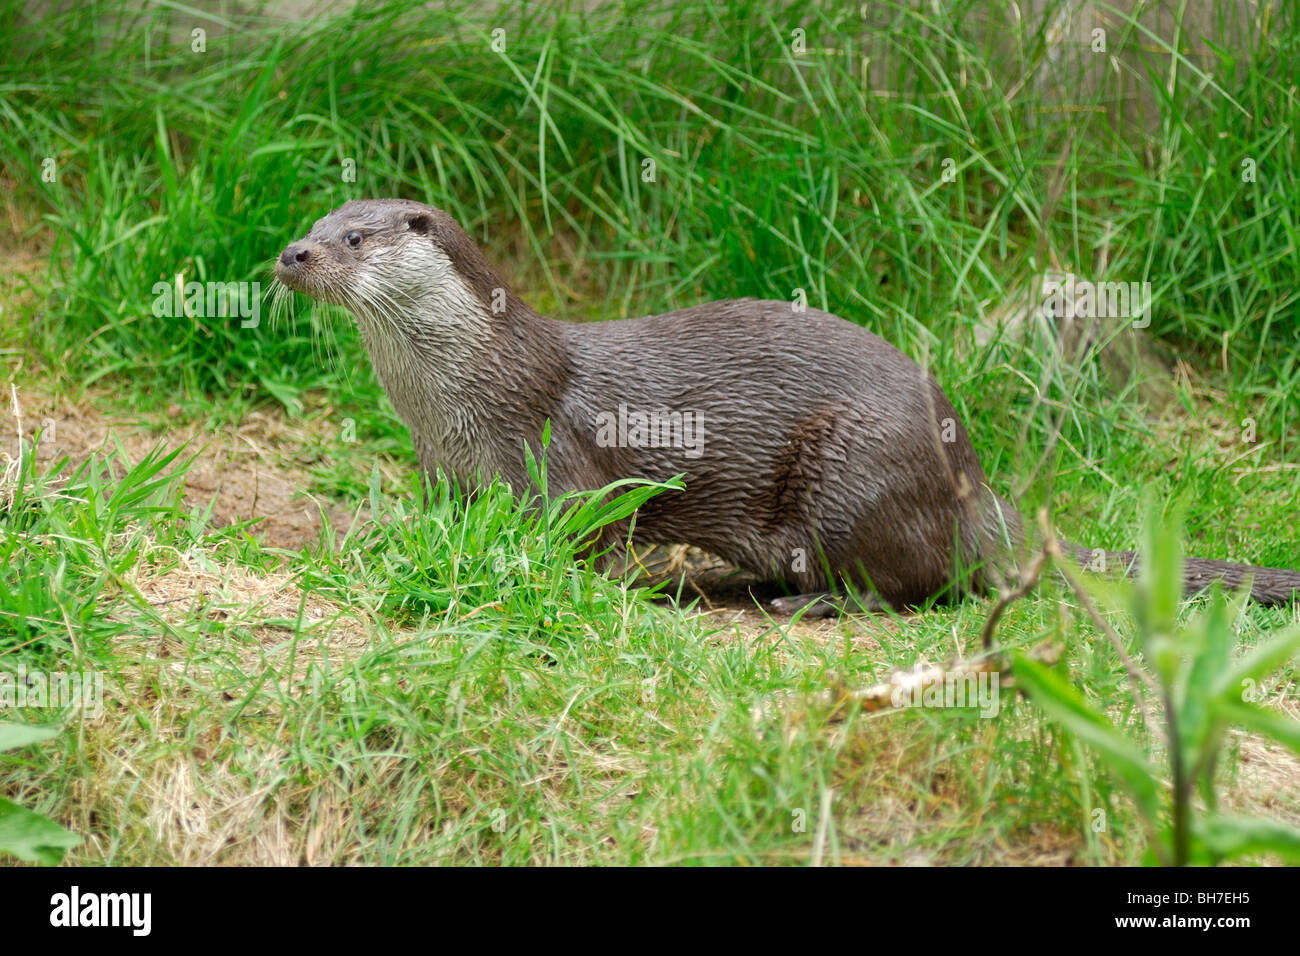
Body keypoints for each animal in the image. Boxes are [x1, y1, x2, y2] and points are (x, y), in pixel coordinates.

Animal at [274, 198, 1300, 613]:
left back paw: (810, 604)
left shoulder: (556, 459)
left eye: (356, 238)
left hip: (852, 467)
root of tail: (975, 485)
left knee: (916, 586)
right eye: (316, 221)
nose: (292, 253)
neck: (466, 397)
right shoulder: (441, 468)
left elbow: (577, 534)